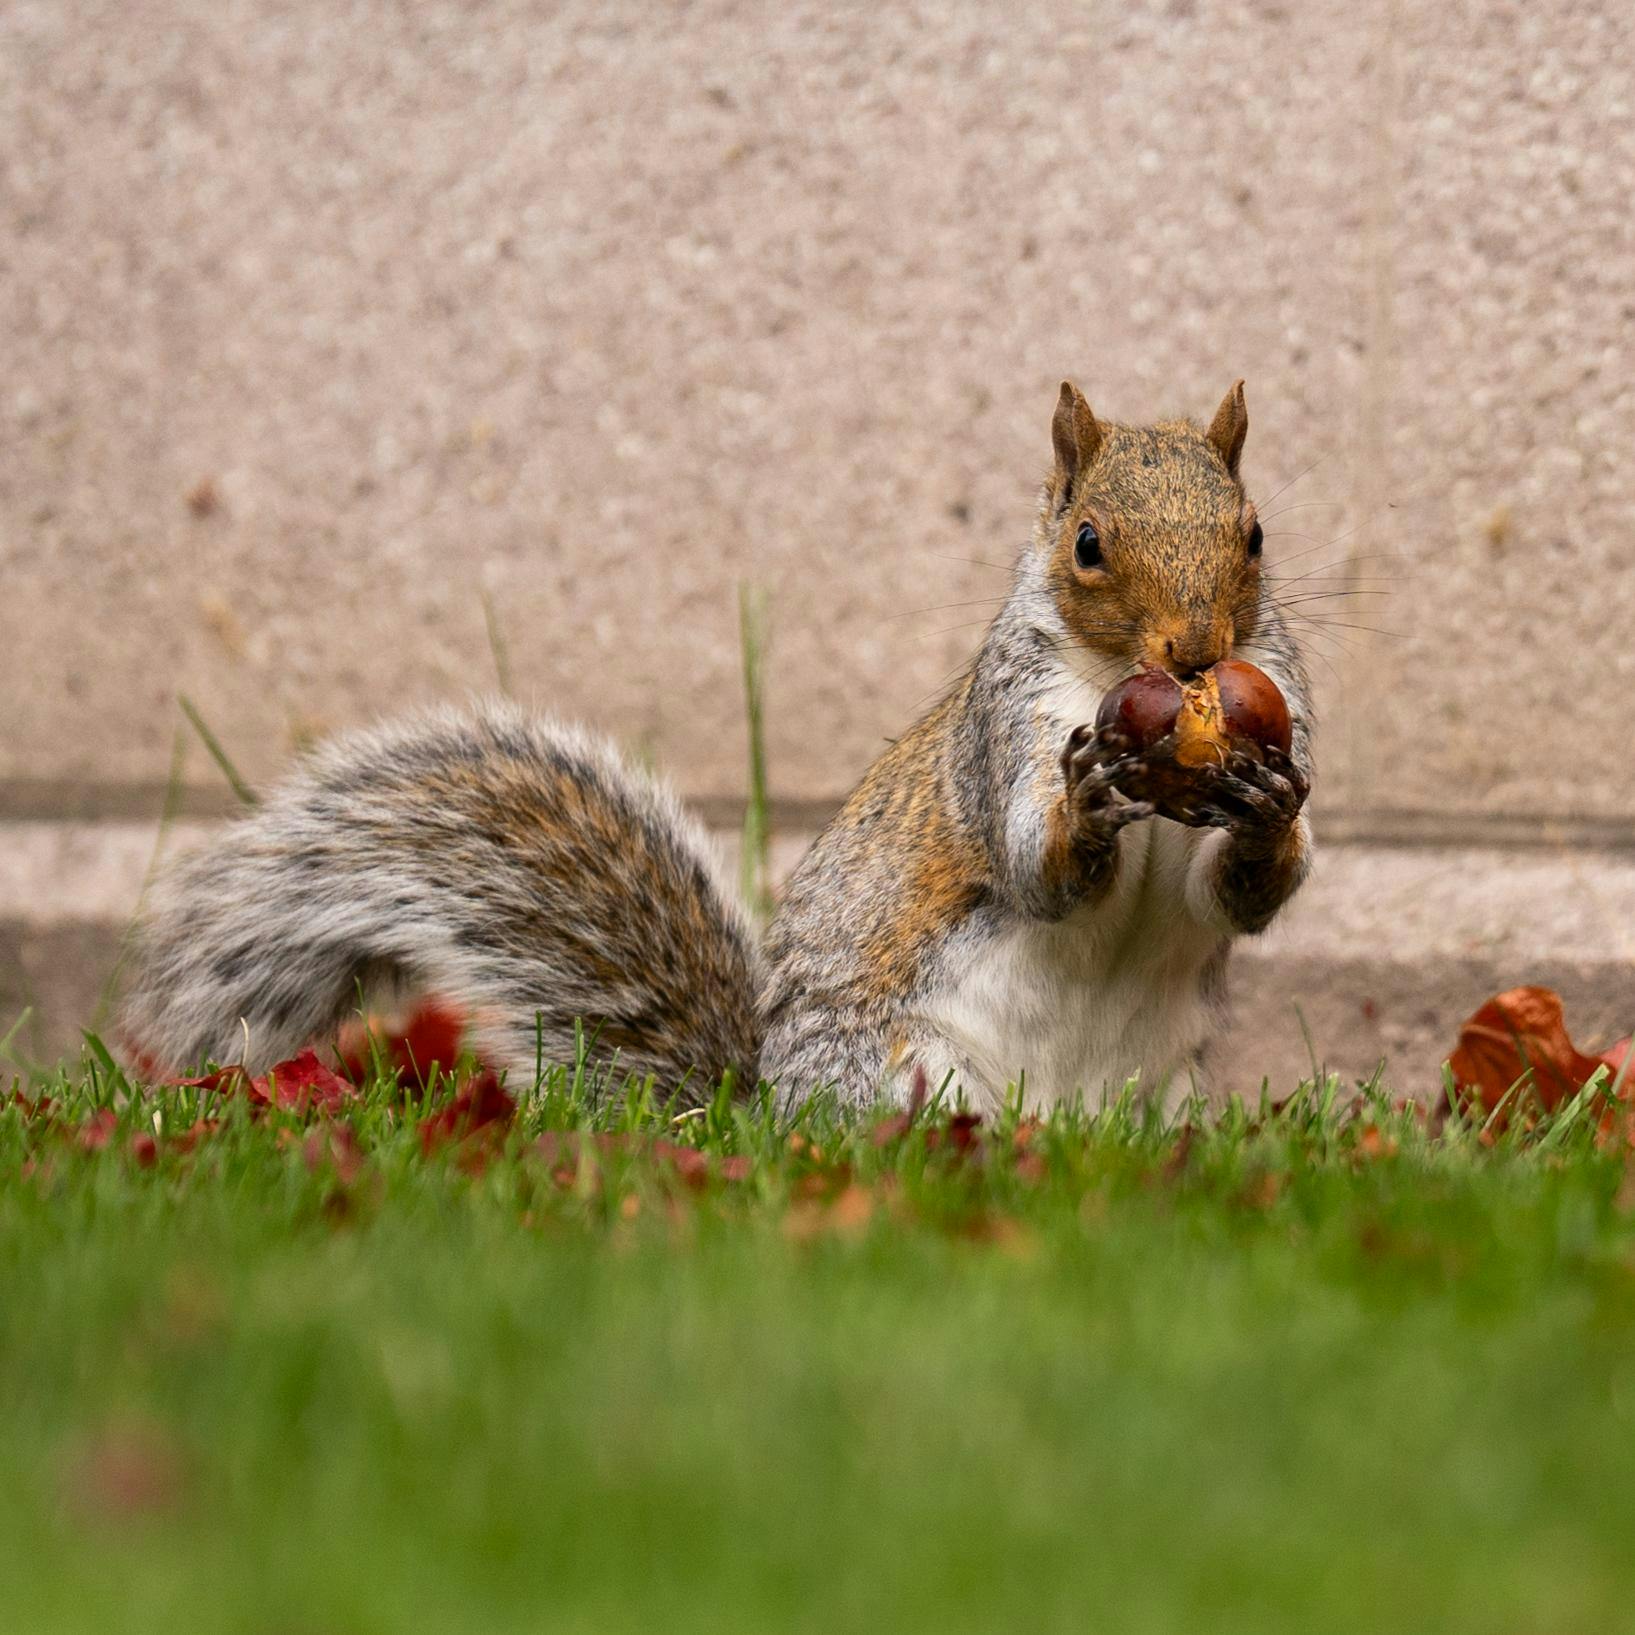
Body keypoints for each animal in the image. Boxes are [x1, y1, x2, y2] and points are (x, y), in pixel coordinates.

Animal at [122, 380, 1312, 1113]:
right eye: (1088, 543)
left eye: (1255, 534)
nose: (1197, 649)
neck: (1117, 679)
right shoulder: (1002, 727)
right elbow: (1033, 868)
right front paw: (1089, 797)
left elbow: (1232, 895)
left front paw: (1269, 808)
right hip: (901, 1072)